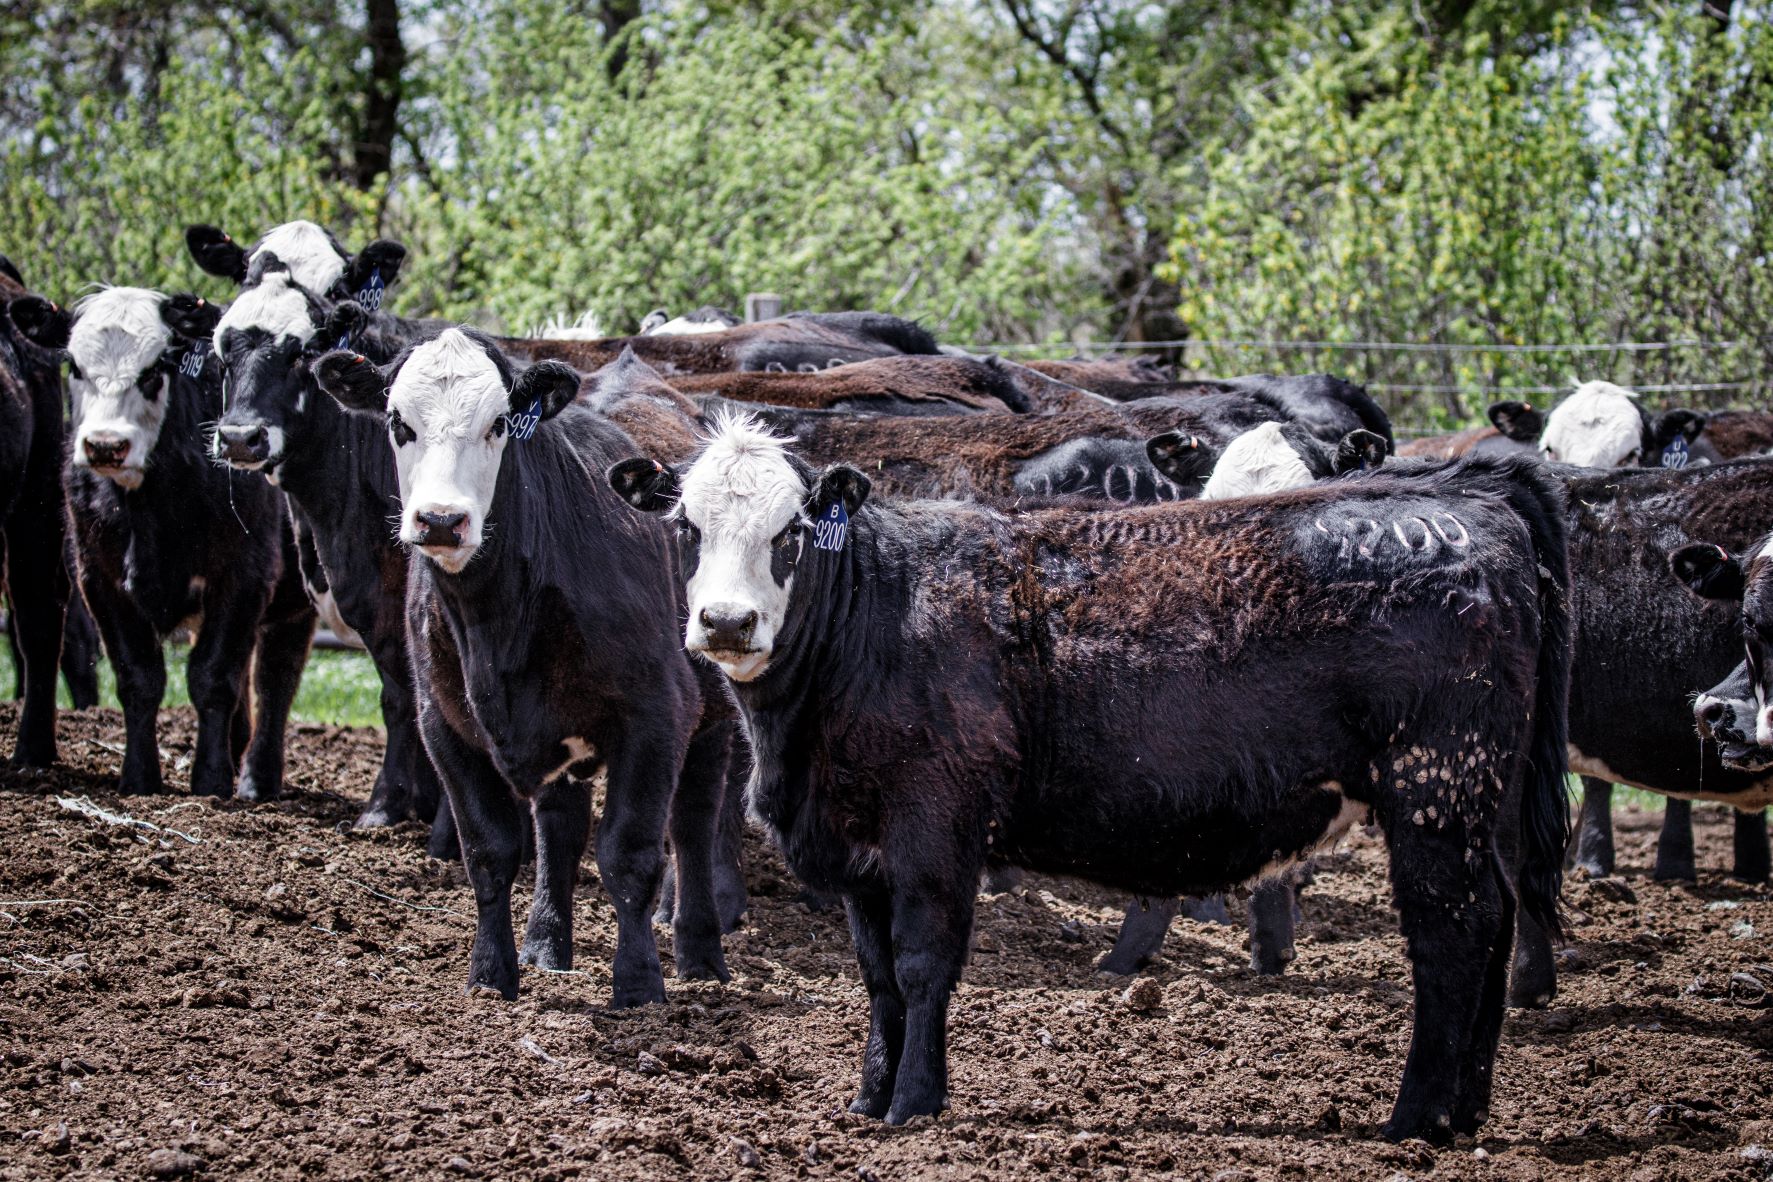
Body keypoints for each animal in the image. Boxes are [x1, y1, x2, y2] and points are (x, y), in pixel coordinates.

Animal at [13, 286, 316, 797]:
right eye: (74, 366)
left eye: (154, 370)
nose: (106, 445)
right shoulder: (100, 579)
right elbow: (139, 677)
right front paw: (139, 778)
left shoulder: (243, 577)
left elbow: (212, 677)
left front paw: (210, 781)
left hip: (294, 602)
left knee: (276, 678)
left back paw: (256, 777)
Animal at [309, 327, 735, 1005]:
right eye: (398, 423)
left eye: (499, 423)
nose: (440, 519)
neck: (498, 620)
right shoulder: (444, 726)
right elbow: (489, 850)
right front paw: (490, 975)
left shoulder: (656, 716)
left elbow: (630, 853)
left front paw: (639, 985)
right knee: (559, 828)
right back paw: (545, 946)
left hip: (710, 713)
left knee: (691, 826)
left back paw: (699, 955)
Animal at [610, 417, 1571, 1141]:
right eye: (687, 527)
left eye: (792, 533)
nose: (725, 621)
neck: (882, 615)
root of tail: (1460, 500)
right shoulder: (858, 850)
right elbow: (877, 977)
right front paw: (867, 1098)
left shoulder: (934, 831)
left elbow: (922, 966)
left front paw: (914, 1104)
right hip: (1474, 797)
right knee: (1492, 920)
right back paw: (1463, 1112)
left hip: (1434, 787)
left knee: (1452, 935)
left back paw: (1414, 1120)